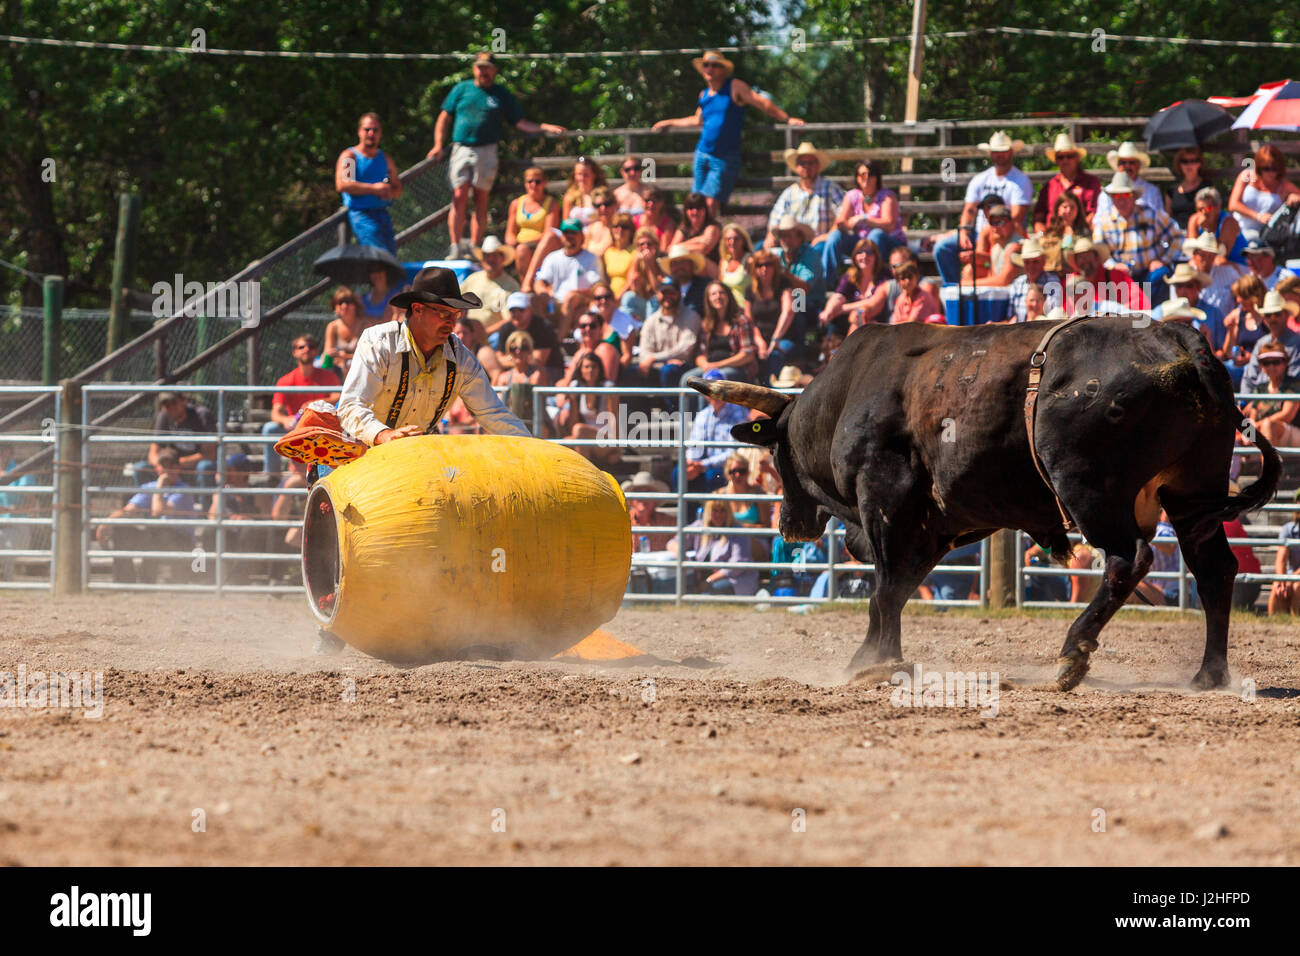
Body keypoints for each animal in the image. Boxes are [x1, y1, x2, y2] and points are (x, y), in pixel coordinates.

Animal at [688, 315, 1281, 691]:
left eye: (774, 455)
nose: (789, 526)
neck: (846, 397)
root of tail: (1175, 337)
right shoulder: (938, 525)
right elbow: (895, 591)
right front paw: (870, 657)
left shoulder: (885, 499)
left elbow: (884, 588)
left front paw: (878, 663)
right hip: (1191, 495)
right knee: (1214, 570)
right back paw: (1209, 675)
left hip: (1089, 488)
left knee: (1128, 558)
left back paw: (1072, 655)